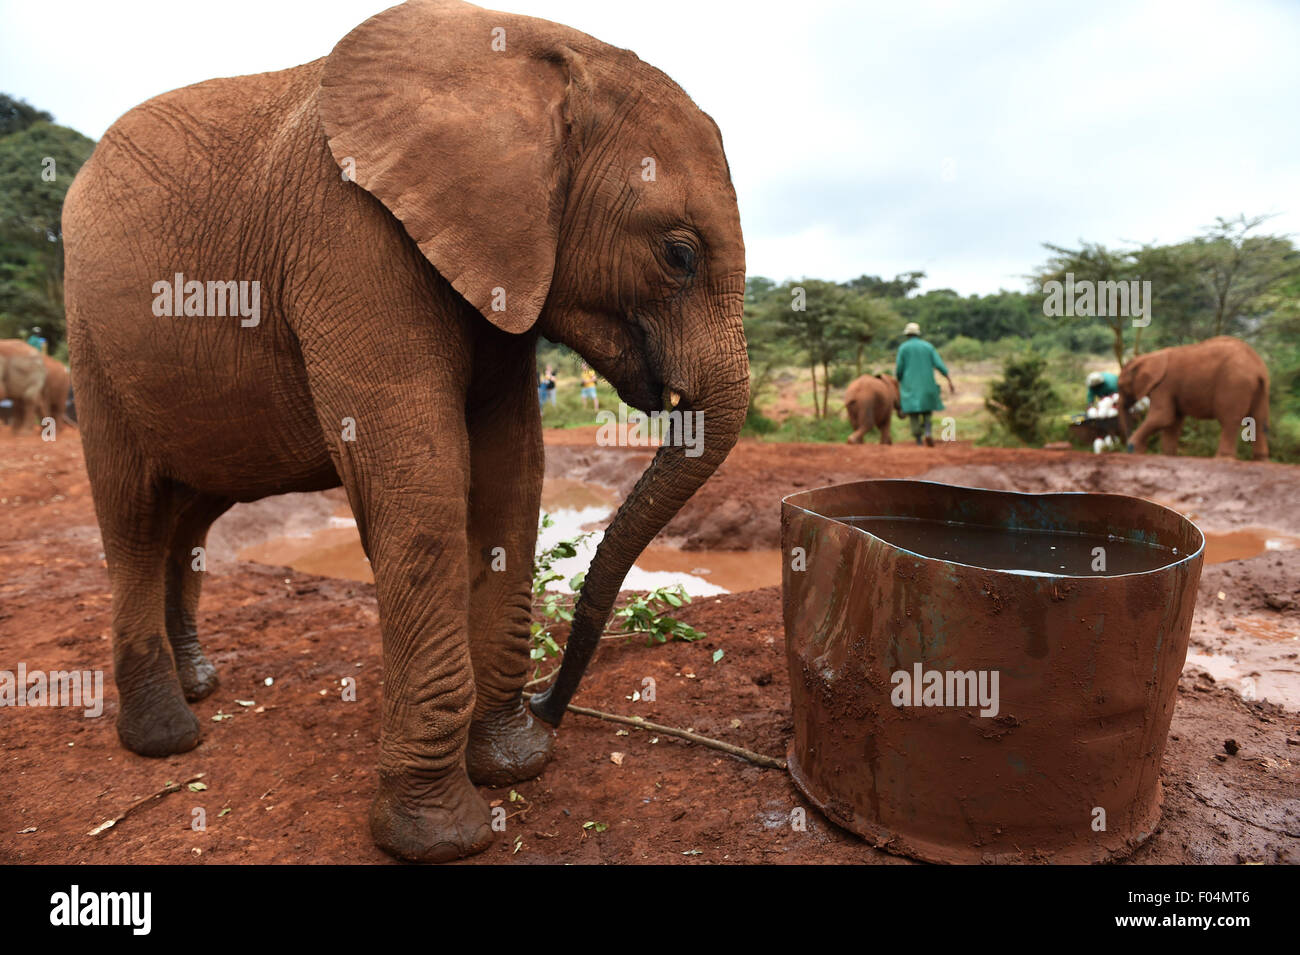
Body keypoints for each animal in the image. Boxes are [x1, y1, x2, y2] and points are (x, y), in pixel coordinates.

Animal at [61, 0, 747, 862]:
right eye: (678, 254)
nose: (553, 708)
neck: (537, 54)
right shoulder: (350, 237)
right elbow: (421, 485)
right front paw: (439, 832)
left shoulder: (500, 258)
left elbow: (513, 474)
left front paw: (511, 764)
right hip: (89, 332)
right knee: (132, 514)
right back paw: (165, 737)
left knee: (190, 512)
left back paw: (200, 684)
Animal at [1117, 336, 1269, 460]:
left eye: (1120, 386)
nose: (1128, 446)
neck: (1149, 357)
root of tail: (1257, 367)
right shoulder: (1171, 388)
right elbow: (1173, 421)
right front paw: (1168, 456)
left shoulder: (1164, 386)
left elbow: (1163, 417)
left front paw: (1134, 449)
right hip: (1260, 388)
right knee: (1258, 420)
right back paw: (1260, 460)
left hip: (1234, 383)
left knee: (1230, 420)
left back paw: (1222, 459)